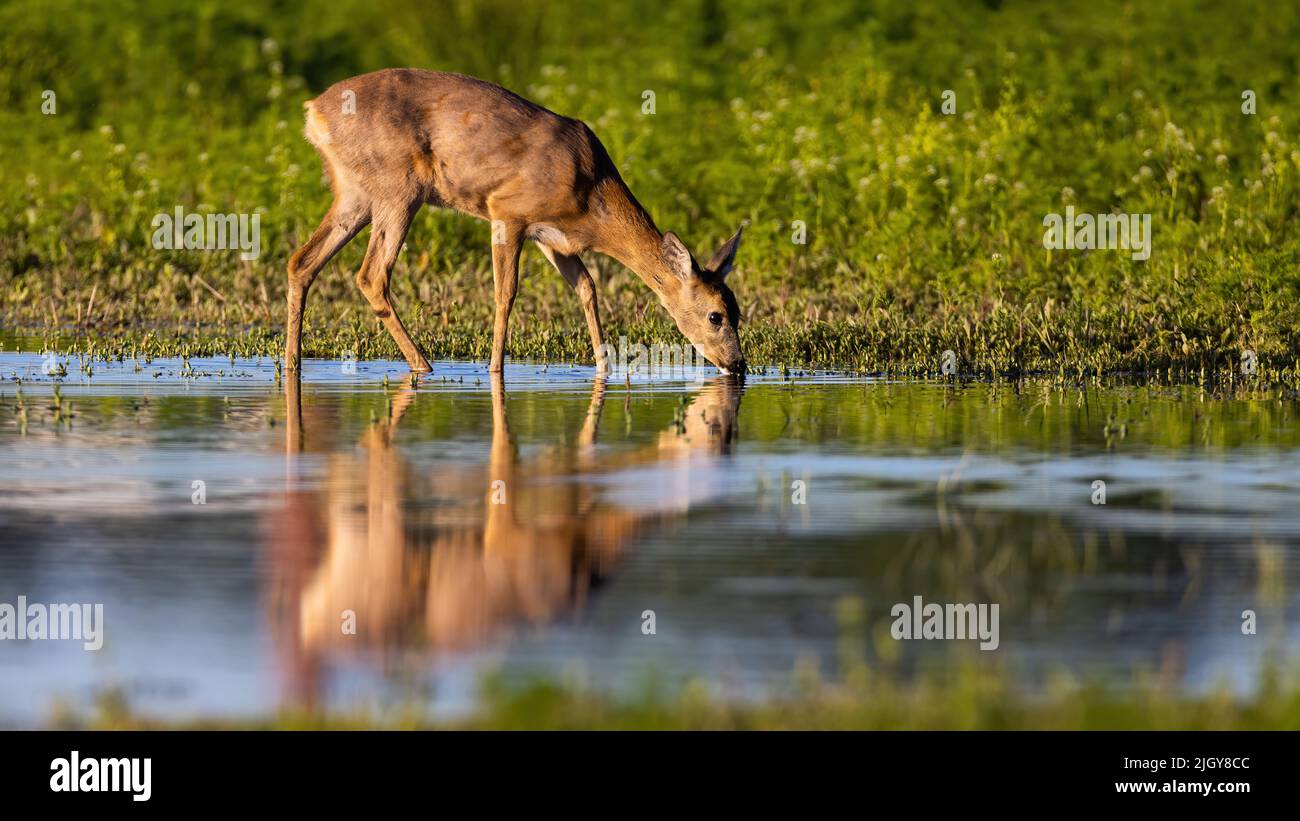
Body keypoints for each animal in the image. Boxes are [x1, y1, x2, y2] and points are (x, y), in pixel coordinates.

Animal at [285, 68, 747, 376]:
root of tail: (312, 112)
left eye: (738, 312)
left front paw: (605, 367)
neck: (591, 191)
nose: (738, 364)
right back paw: (425, 366)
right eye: (715, 316)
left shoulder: (552, 237)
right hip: (398, 189)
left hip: (355, 193)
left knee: (301, 261)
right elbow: (505, 292)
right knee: (371, 274)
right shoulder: (507, 212)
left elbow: (587, 287)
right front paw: (495, 369)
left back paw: (291, 364)